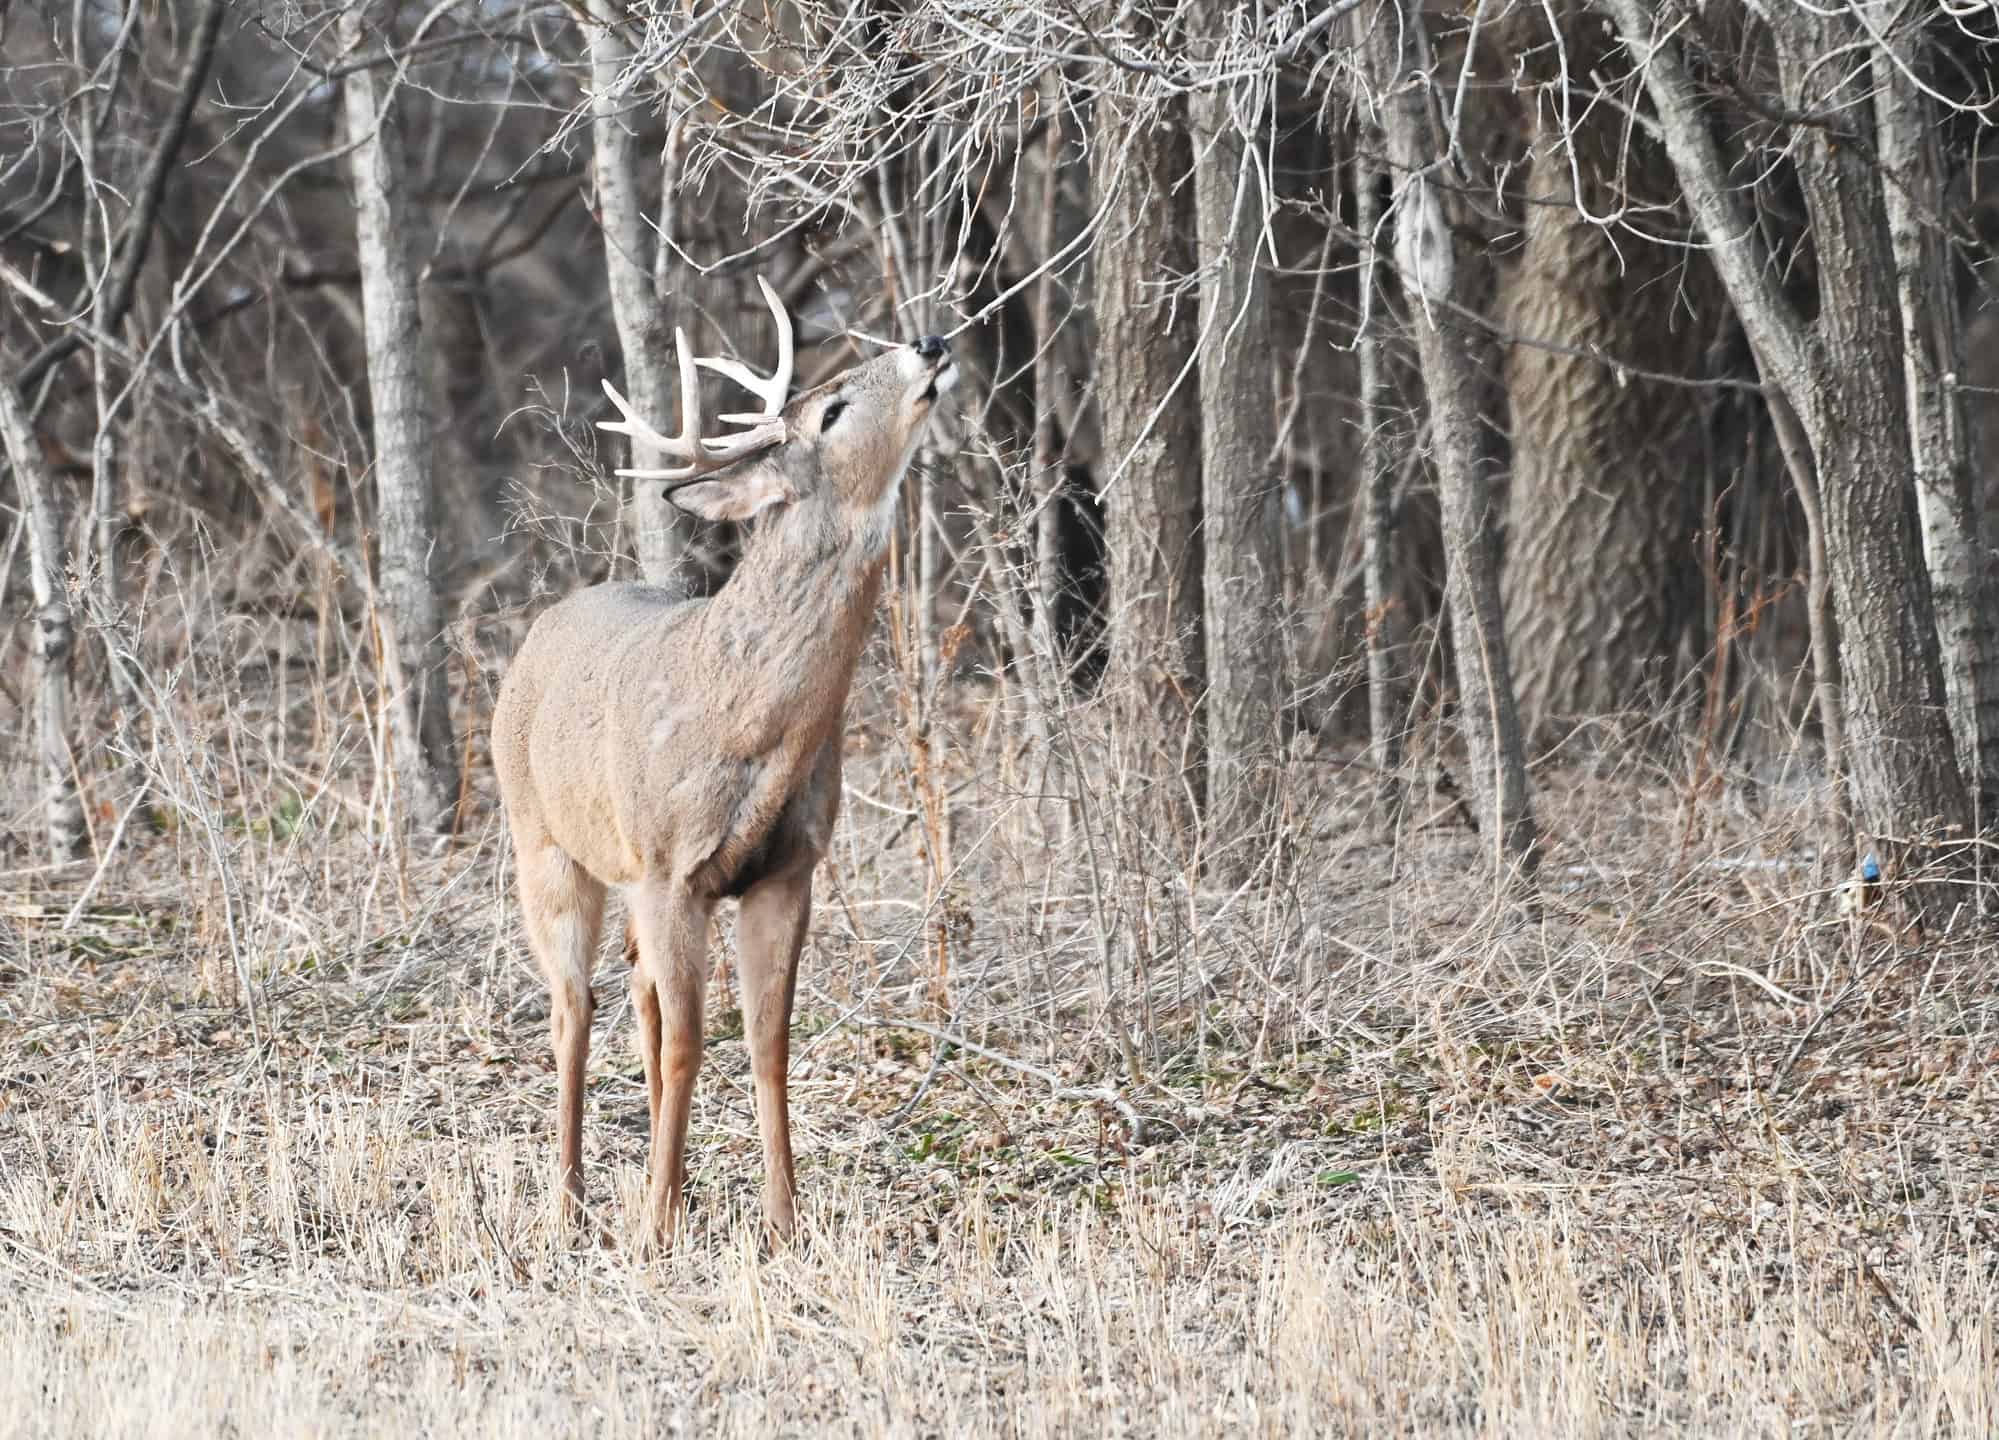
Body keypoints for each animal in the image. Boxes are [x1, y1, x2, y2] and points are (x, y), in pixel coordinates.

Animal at [492, 277, 955, 1248]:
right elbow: (688, 1045)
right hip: (543, 844)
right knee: (572, 1010)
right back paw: (571, 1199)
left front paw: (783, 1221)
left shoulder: (786, 869)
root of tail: (547, 623)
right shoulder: (672, 867)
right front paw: (654, 1231)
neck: (747, 724)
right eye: (832, 409)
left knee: (634, 993)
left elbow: (767, 1042)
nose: (931, 342)